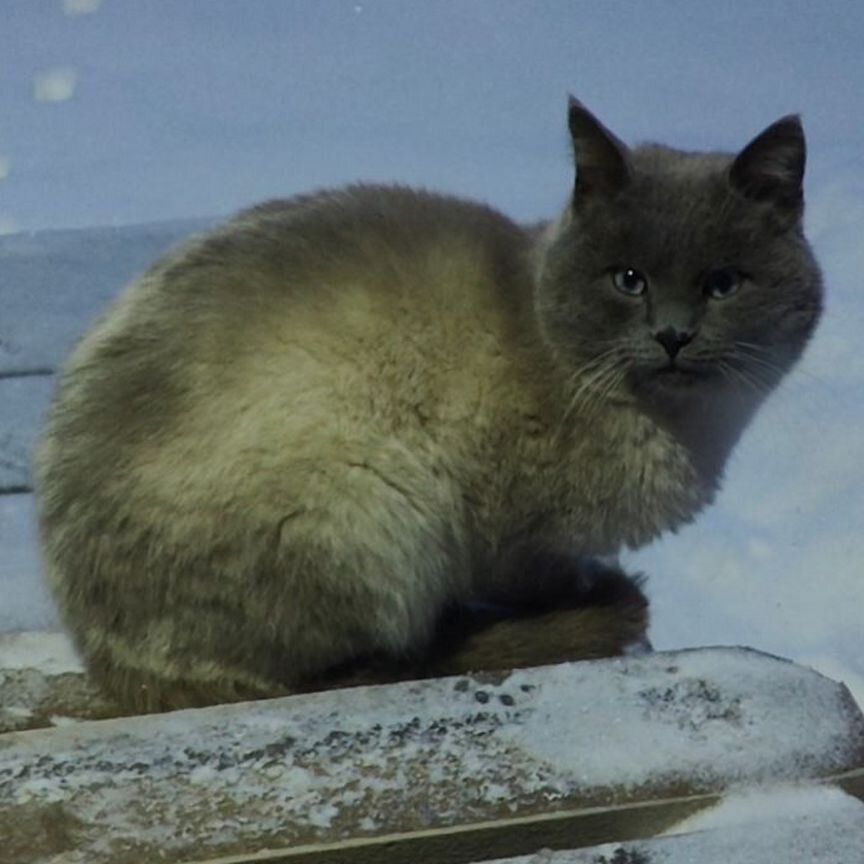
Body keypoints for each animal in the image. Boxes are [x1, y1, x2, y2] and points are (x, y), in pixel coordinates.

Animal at [33, 98, 824, 712]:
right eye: (628, 280)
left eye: (723, 284)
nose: (673, 337)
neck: (686, 429)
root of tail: (110, 665)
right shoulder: (521, 539)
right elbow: (546, 582)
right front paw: (591, 603)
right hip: (370, 504)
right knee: (355, 670)